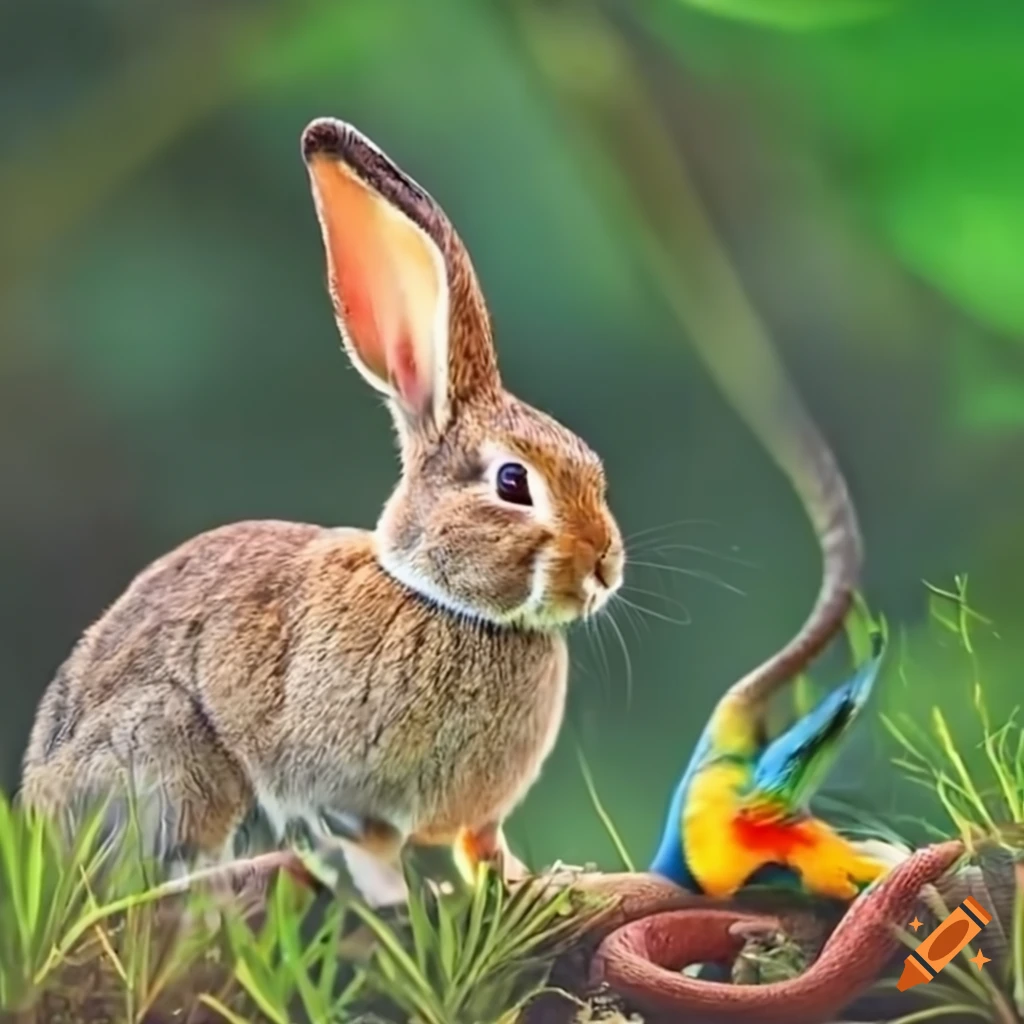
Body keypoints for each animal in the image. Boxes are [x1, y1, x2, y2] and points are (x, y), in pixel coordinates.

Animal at [20, 117, 625, 906]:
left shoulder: (478, 818)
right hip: (169, 750)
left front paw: (541, 882)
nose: (606, 567)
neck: (446, 603)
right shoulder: (342, 789)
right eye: (514, 482)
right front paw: (403, 899)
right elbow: (372, 844)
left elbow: (483, 846)